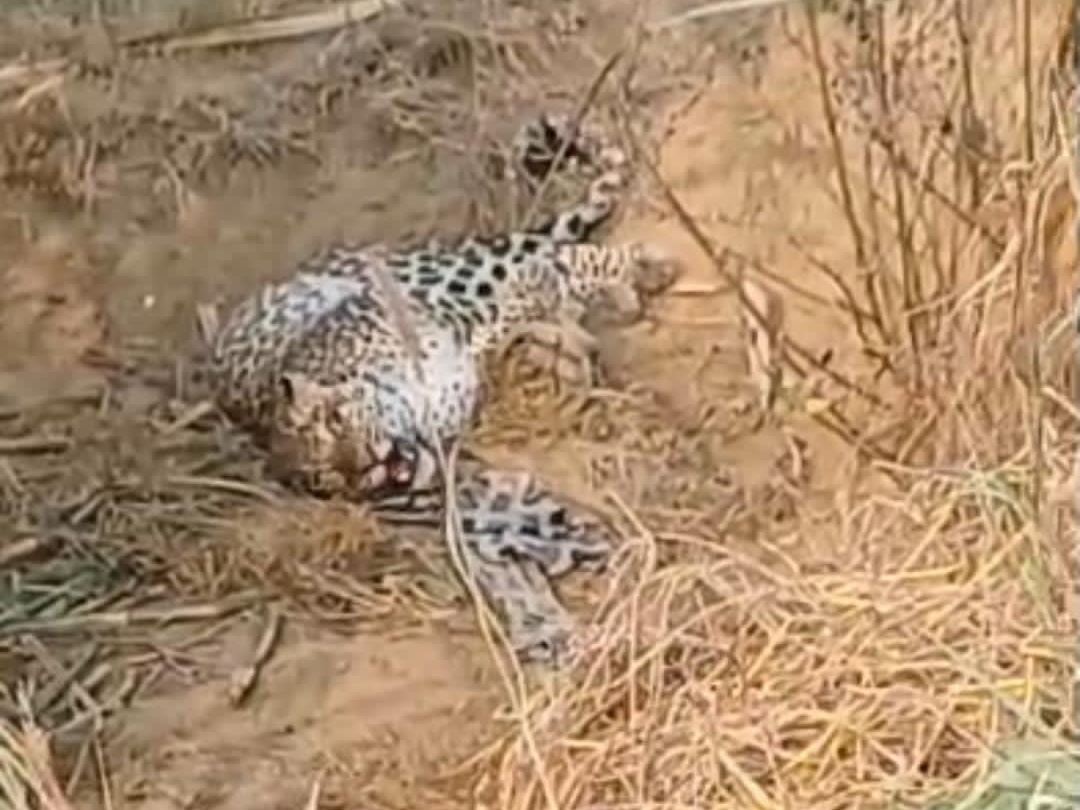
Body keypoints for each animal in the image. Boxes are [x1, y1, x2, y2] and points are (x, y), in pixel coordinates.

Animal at [200, 112, 682, 663]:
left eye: (335, 421)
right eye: (323, 478)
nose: (373, 467)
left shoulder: (438, 315)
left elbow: (508, 309)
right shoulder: (449, 465)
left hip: (443, 271)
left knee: (546, 250)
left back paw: (628, 274)